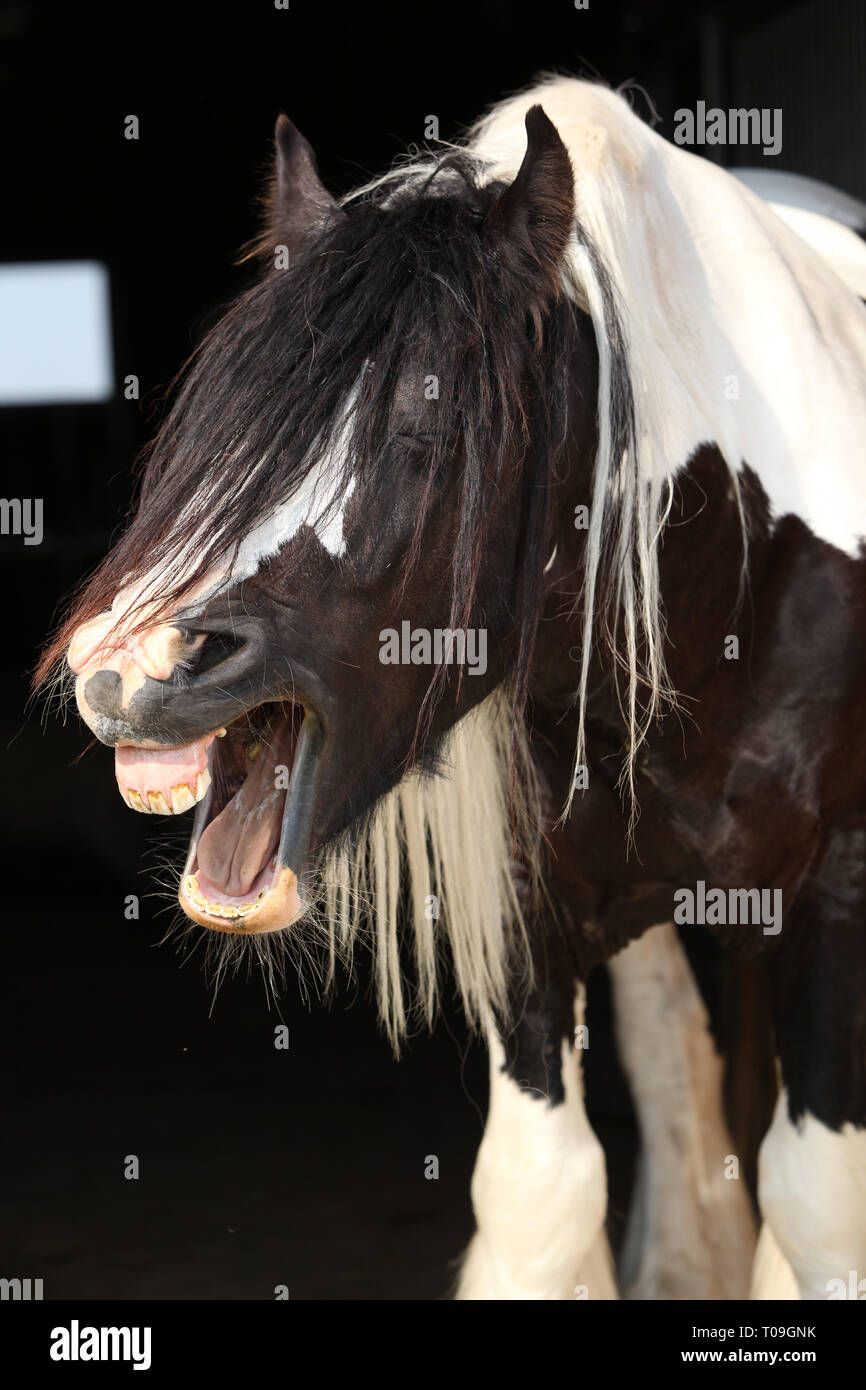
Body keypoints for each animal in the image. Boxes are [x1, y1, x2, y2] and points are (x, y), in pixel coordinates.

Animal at [37, 76, 866, 1301]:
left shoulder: (838, 893)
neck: (730, 573)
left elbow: (817, 1210)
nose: (128, 667)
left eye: (425, 429)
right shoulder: (526, 916)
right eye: (208, 426)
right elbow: (540, 1194)